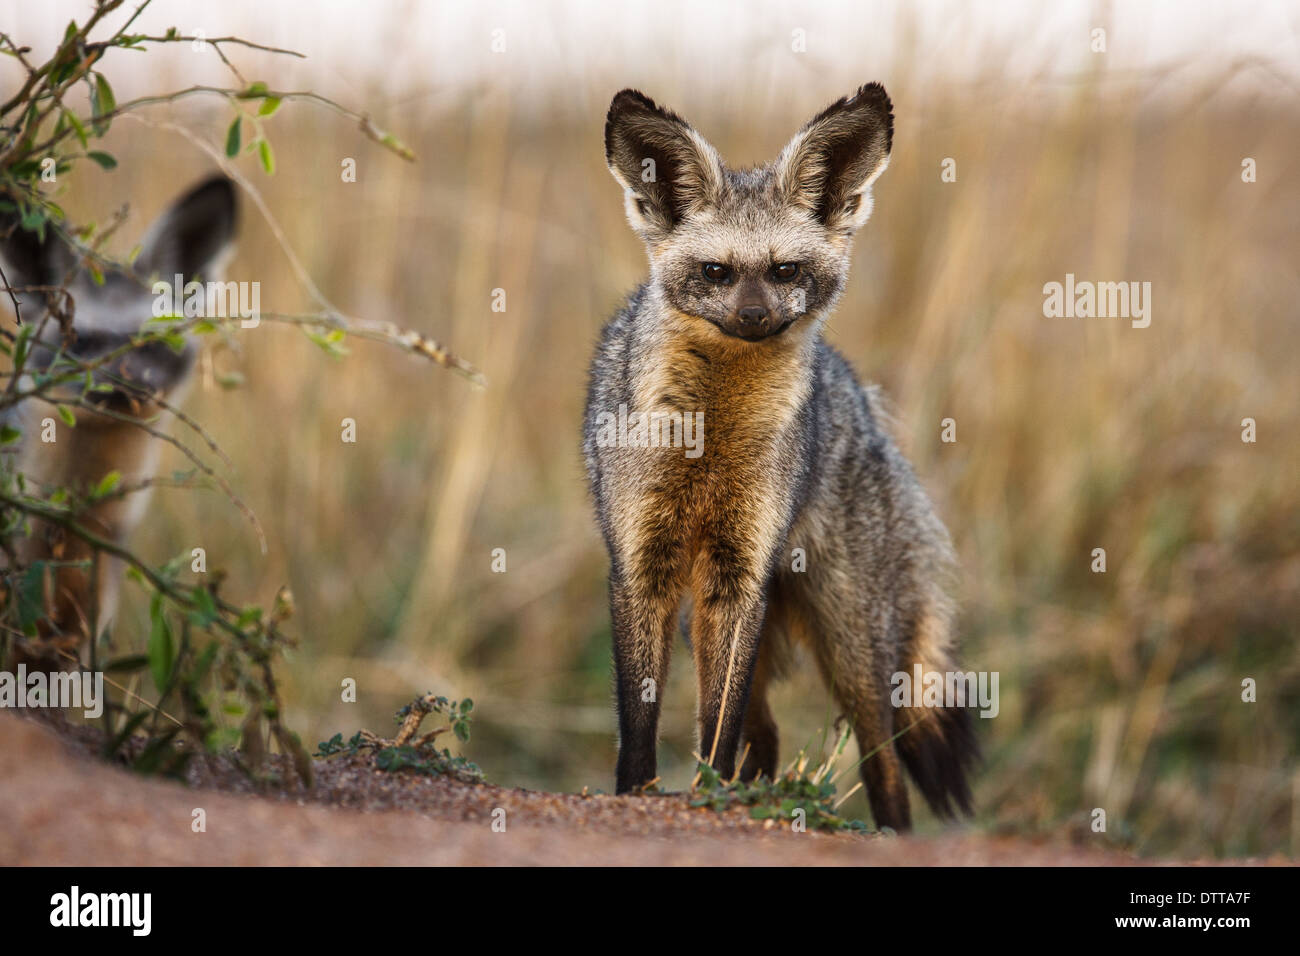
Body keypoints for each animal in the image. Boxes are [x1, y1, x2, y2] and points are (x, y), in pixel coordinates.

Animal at [583, 84, 977, 830]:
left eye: (785, 270)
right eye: (716, 272)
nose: (756, 318)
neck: (712, 440)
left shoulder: (741, 573)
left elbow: (720, 720)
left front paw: (705, 794)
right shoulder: (644, 564)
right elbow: (641, 720)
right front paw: (639, 796)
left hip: (851, 644)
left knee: (882, 763)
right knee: (765, 735)